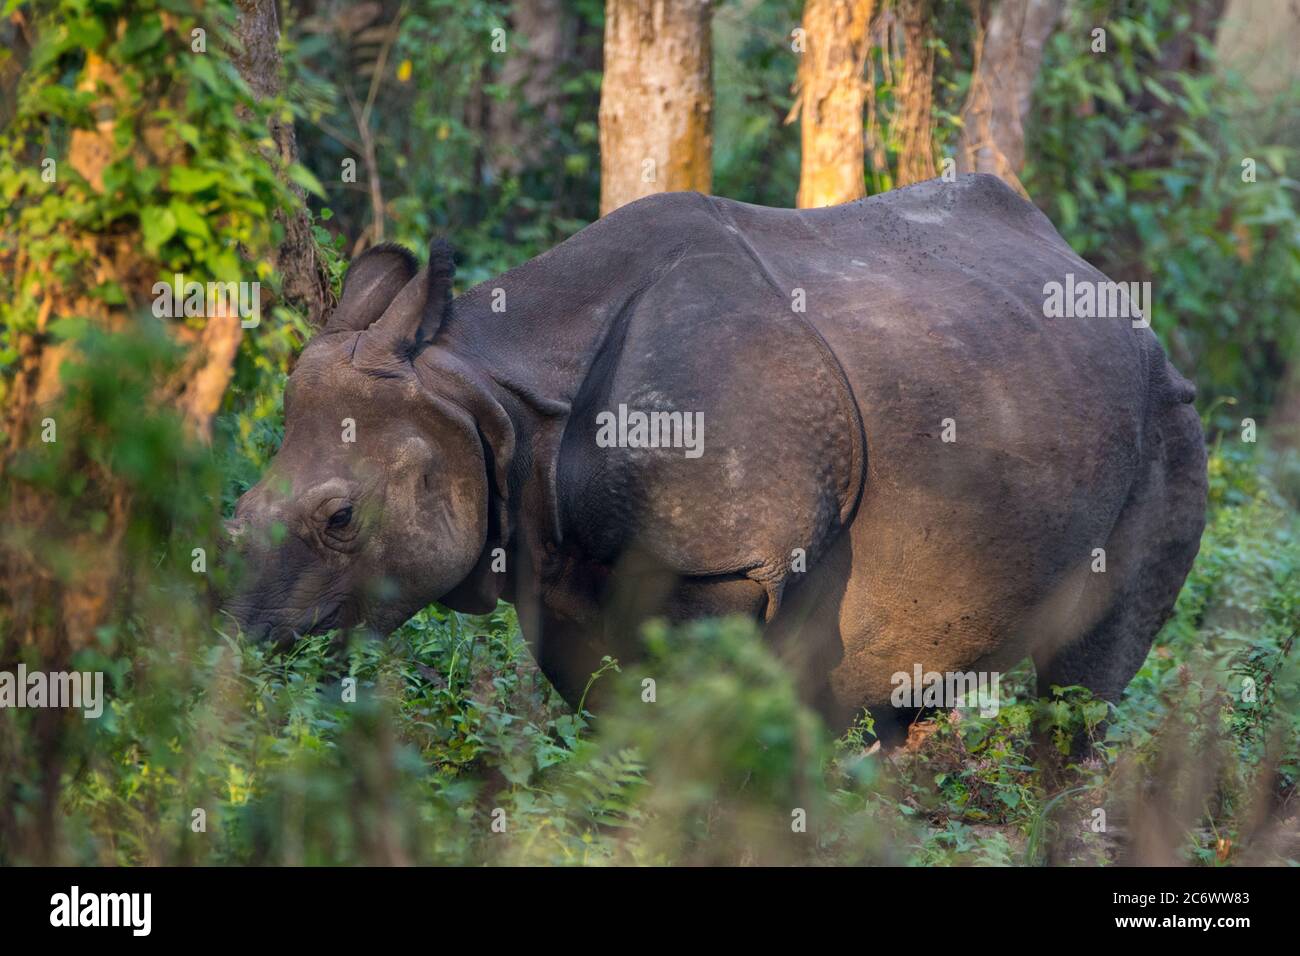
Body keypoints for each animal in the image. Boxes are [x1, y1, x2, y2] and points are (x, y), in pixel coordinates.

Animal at [225, 174, 1207, 733]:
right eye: (232, 516)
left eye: (341, 519)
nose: (246, 640)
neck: (486, 393)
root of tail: (1105, 286)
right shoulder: (563, 569)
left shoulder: (724, 562)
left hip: (1170, 414)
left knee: (1083, 695)